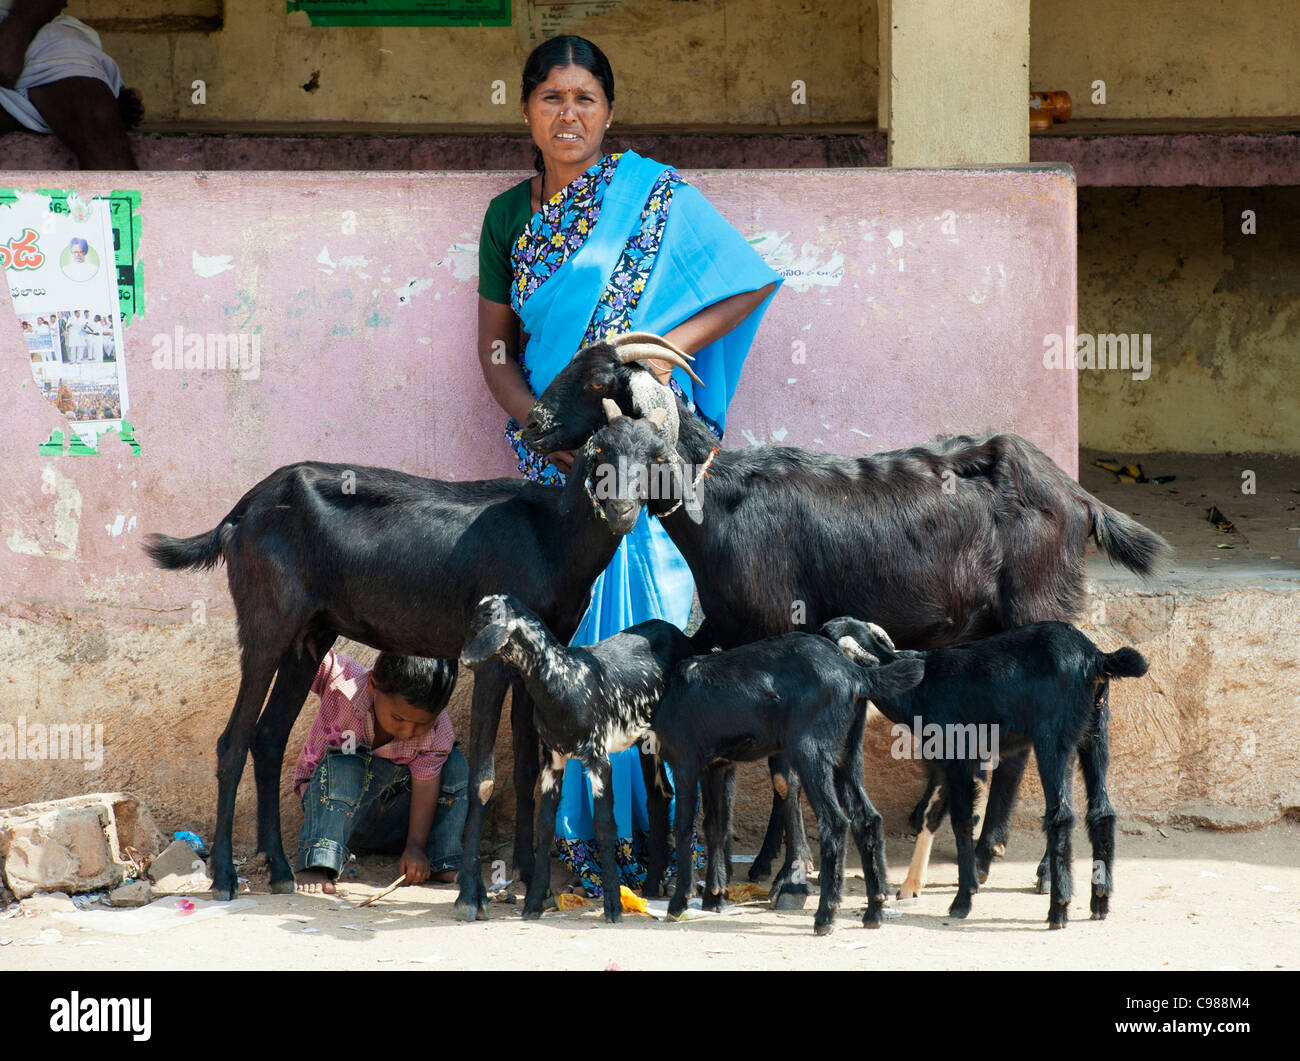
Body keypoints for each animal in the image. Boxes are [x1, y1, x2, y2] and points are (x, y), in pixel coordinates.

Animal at [459, 594, 697, 922]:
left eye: (479, 620)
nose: (463, 659)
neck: (565, 679)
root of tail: (682, 636)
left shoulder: (598, 758)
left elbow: (605, 825)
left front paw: (613, 907)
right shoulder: (553, 759)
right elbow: (545, 824)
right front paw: (533, 904)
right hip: (646, 741)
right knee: (659, 795)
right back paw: (650, 886)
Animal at [651, 631, 924, 934]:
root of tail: (854, 674)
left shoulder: (685, 762)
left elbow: (684, 826)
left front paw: (679, 903)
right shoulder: (717, 766)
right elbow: (716, 827)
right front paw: (715, 897)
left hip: (810, 752)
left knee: (835, 822)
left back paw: (825, 916)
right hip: (848, 754)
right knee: (867, 819)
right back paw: (874, 911)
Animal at [824, 616, 1148, 928]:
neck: (919, 689)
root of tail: (1095, 657)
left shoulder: (958, 757)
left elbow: (962, 820)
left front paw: (963, 900)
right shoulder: (951, 761)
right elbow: (934, 814)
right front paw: (911, 885)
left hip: (1052, 740)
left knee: (1061, 816)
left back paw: (1058, 909)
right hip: (1094, 733)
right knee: (1102, 812)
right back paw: (1100, 902)